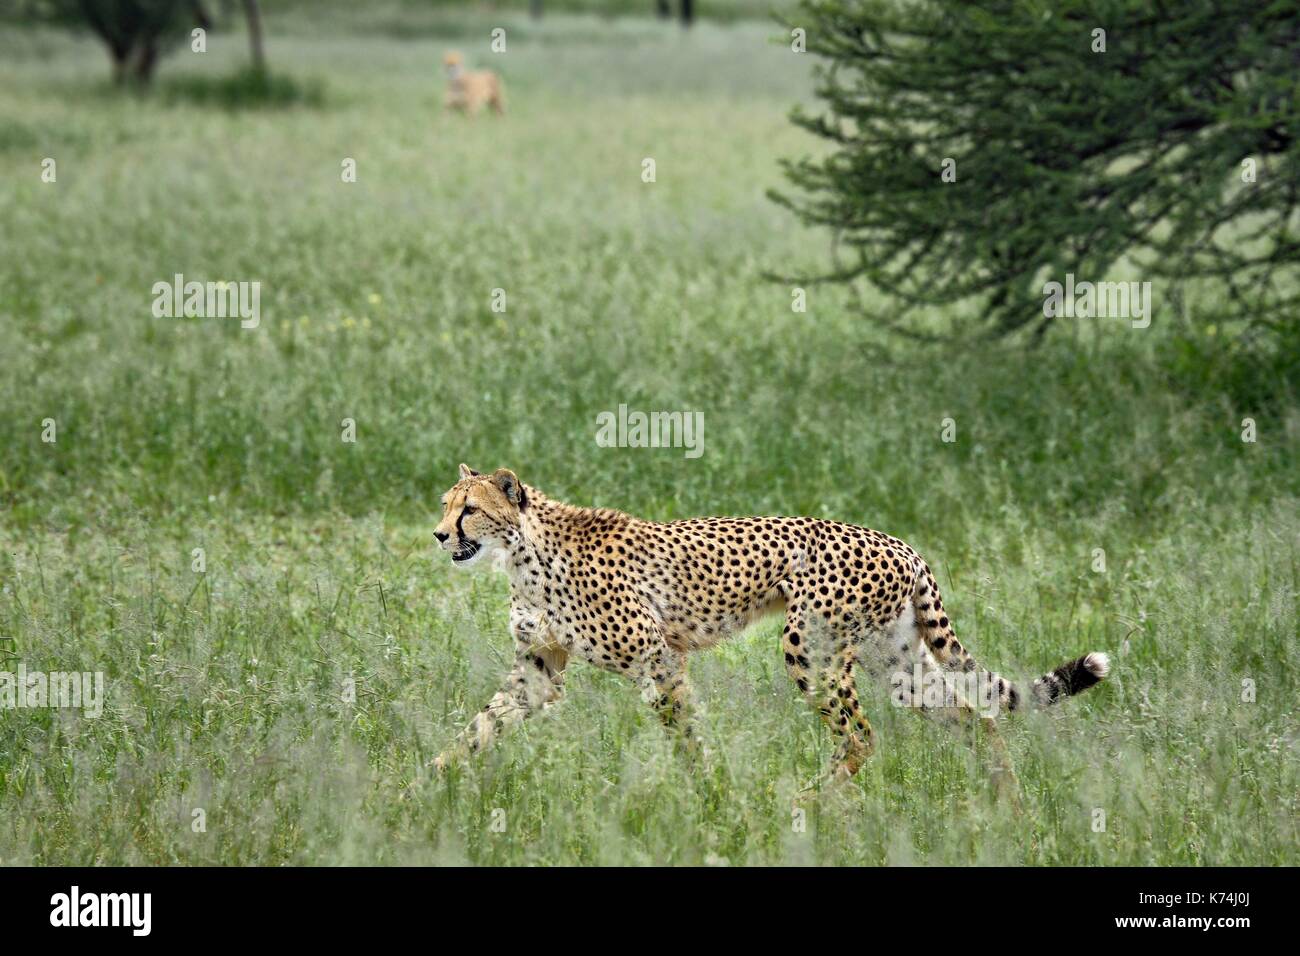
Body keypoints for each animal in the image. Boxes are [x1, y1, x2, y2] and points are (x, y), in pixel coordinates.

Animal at [431, 465, 1109, 795]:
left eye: (469, 509)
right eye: (445, 504)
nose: (438, 535)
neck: (522, 553)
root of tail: (901, 543)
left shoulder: (658, 658)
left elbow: (687, 737)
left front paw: (711, 796)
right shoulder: (539, 671)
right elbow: (476, 728)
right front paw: (424, 788)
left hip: (809, 648)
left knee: (862, 737)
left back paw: (809, 802)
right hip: (899, 664)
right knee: (977, 718)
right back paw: (1009, 809)